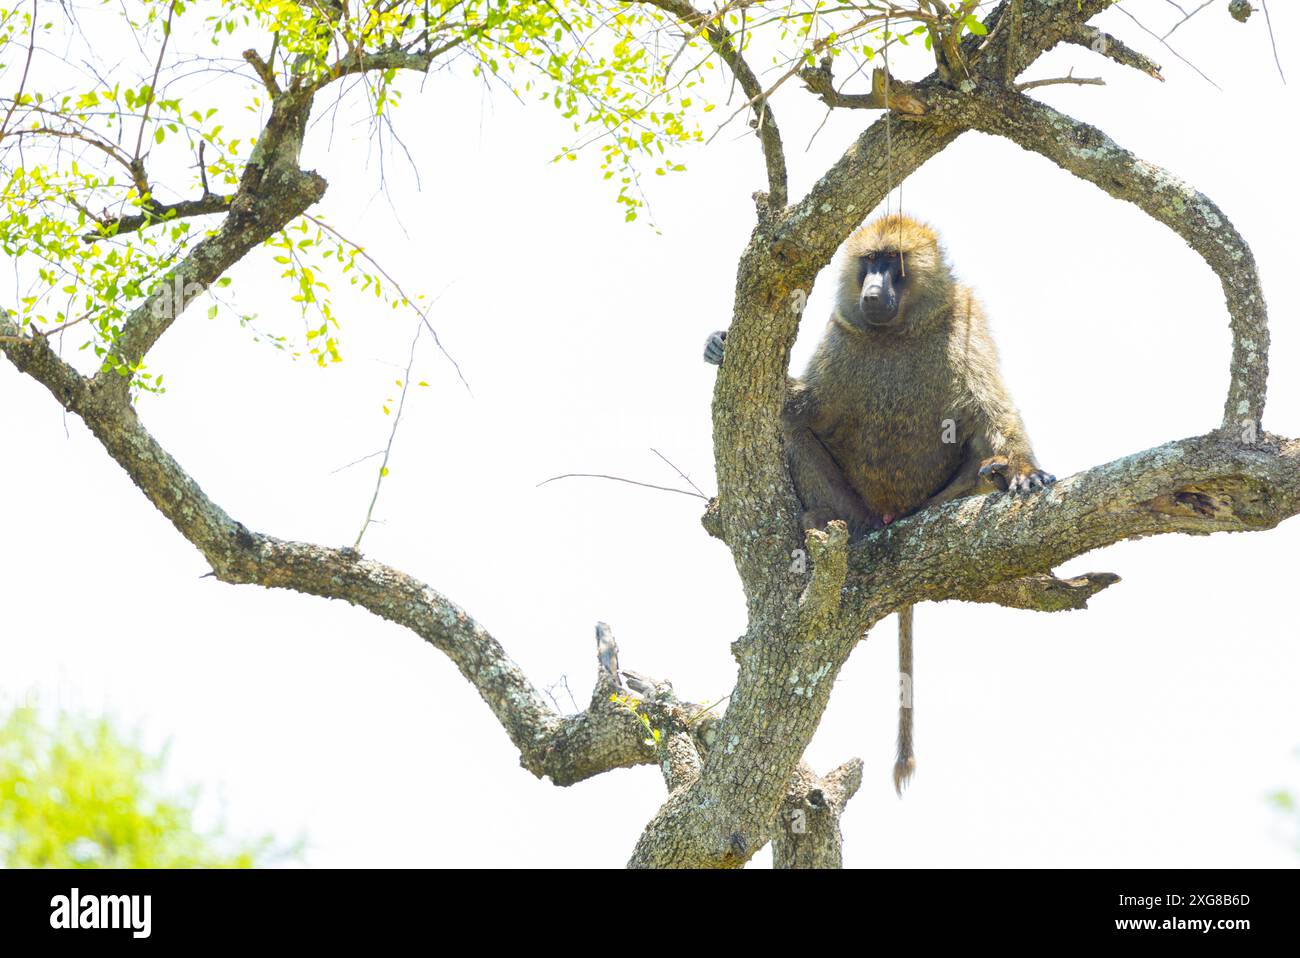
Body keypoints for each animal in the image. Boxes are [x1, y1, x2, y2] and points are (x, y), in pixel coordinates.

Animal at [703, 213, 1055, 795]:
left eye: (893, 262)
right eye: (868, 262)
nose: (871, 291)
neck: (899, 333)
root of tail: (892, 515)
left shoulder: (967, 319)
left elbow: (991, 408)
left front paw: (1023, 470)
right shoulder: (841, 337)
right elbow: (801, 407)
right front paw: (719, 344)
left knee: (979, 450)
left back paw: (992, 477)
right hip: (857, 505)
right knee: (791, 428)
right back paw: (830, 520)